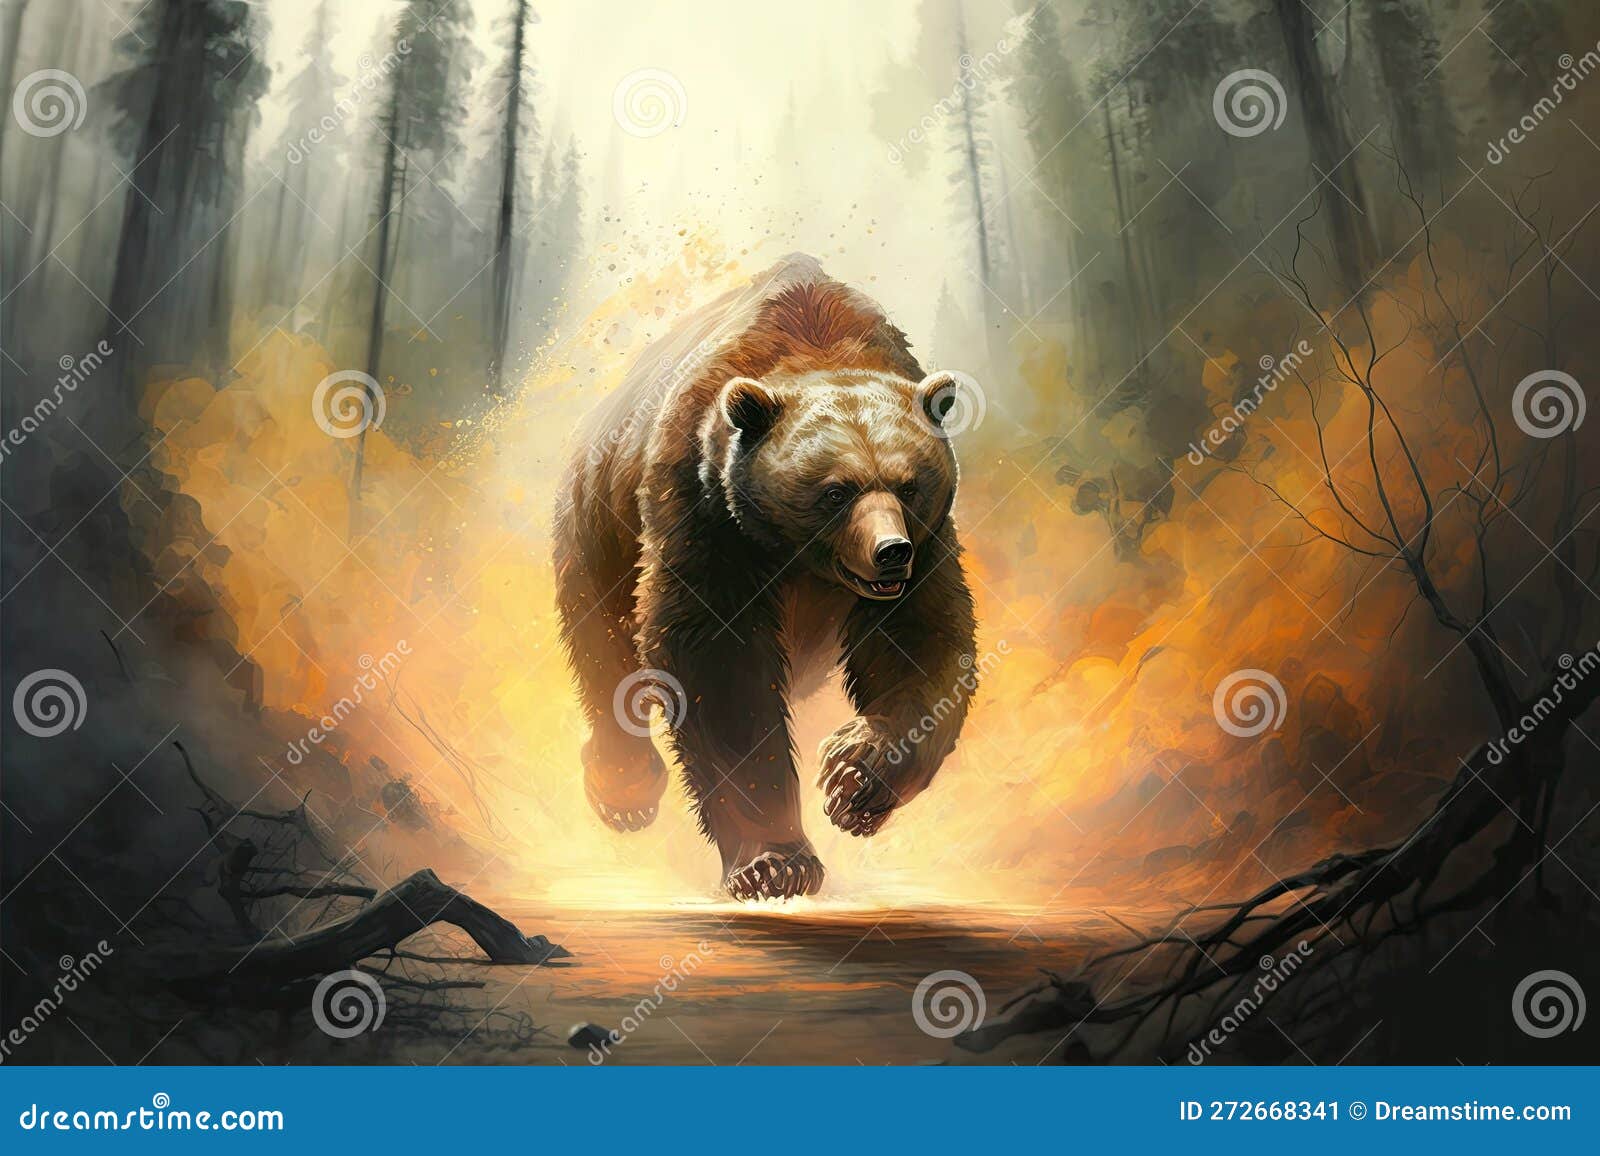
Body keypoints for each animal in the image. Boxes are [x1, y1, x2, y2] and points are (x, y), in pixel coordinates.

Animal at [553, 253, 978, 900]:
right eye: (835, 491)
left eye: (908, 486)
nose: (890, 552)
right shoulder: (702, 507)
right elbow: (716, 661)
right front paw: (775, 860)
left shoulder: (929, 545)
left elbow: (922, 642)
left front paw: (852, 776)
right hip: (597, 520)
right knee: (603, 647)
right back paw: (623, 787)